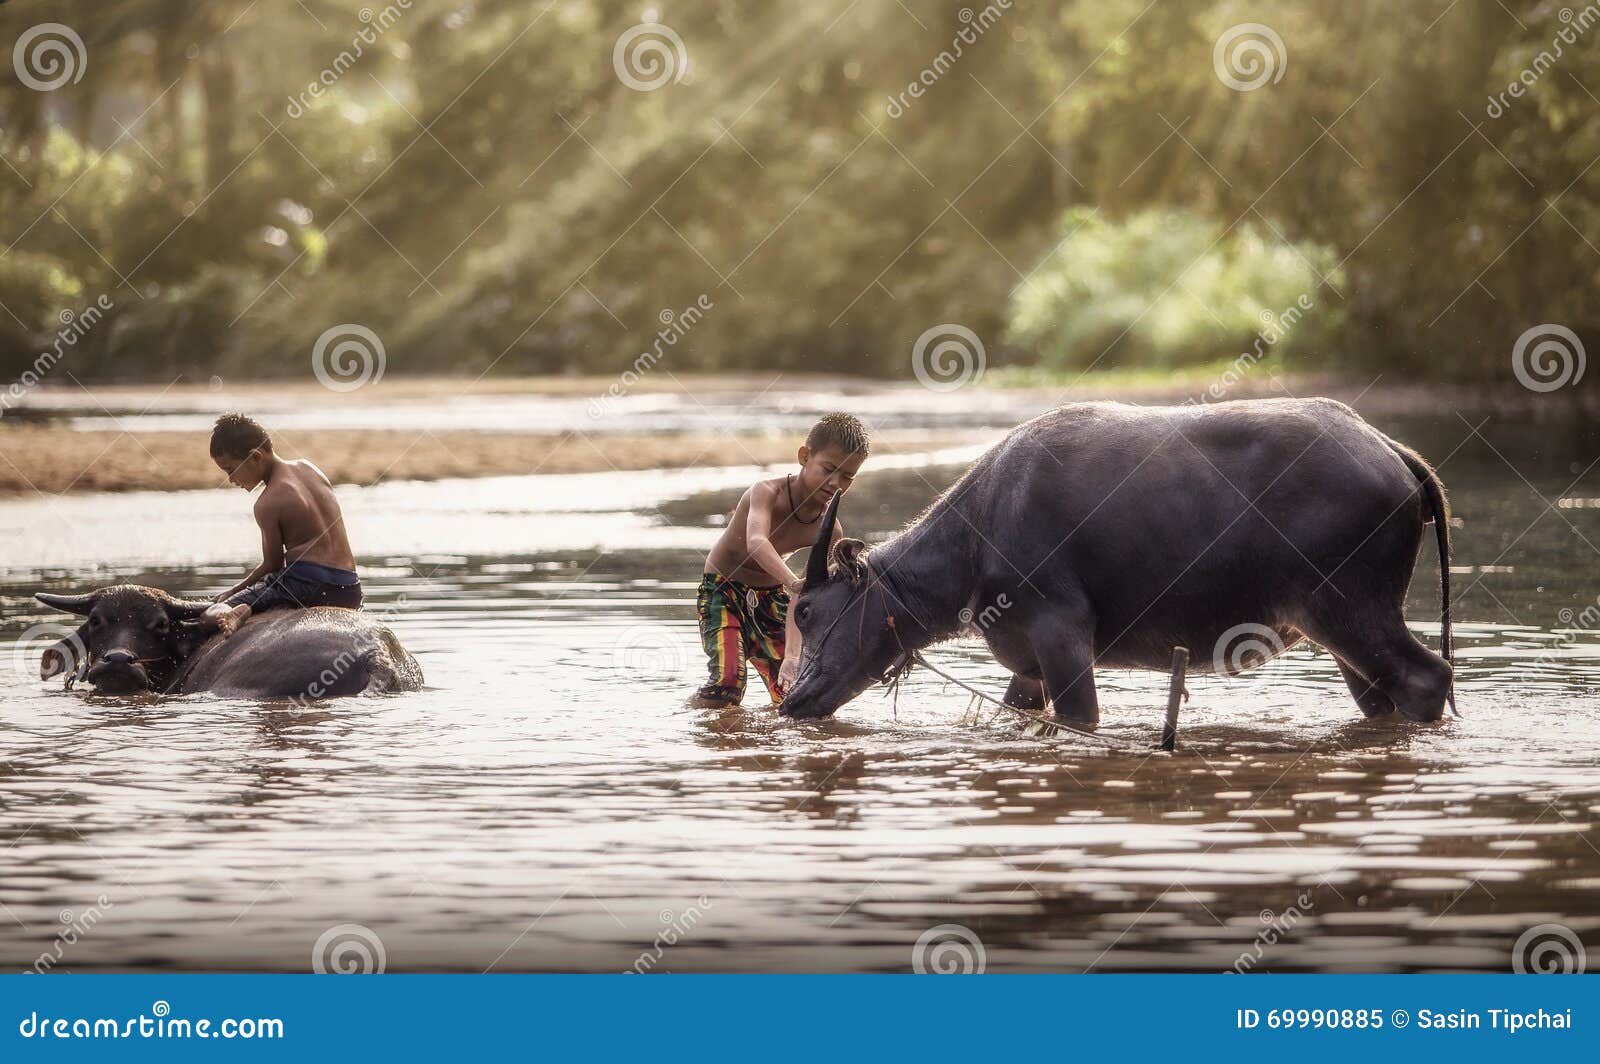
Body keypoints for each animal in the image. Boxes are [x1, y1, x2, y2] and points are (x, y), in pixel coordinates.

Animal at [780, 398, 1455, 726]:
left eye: (806, 611)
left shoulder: (1061, 633)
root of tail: (1391, 450)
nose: (789, 700)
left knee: (1427, 678)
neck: (979, 537)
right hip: (1340, 632)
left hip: (1350, 610)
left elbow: (1081, 716)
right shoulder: (1028, 665)